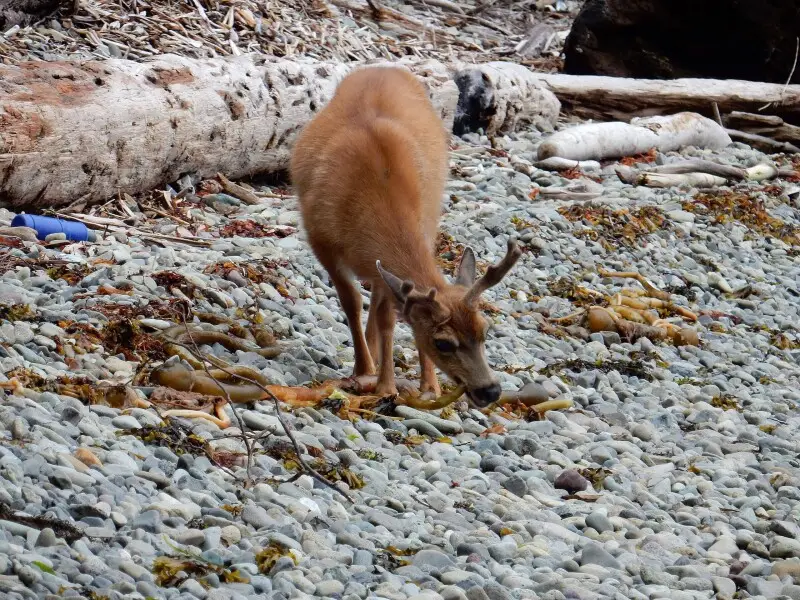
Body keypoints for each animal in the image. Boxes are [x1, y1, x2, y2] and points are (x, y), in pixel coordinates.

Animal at [289, 66, 522, 409]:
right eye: (443, 343)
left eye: (485, 330)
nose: (490, 390)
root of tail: (382, 67)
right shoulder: (321, 241)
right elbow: (352, 303)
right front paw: (373, 377)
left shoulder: (421, 226)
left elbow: (387, 313)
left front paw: (422, 386)